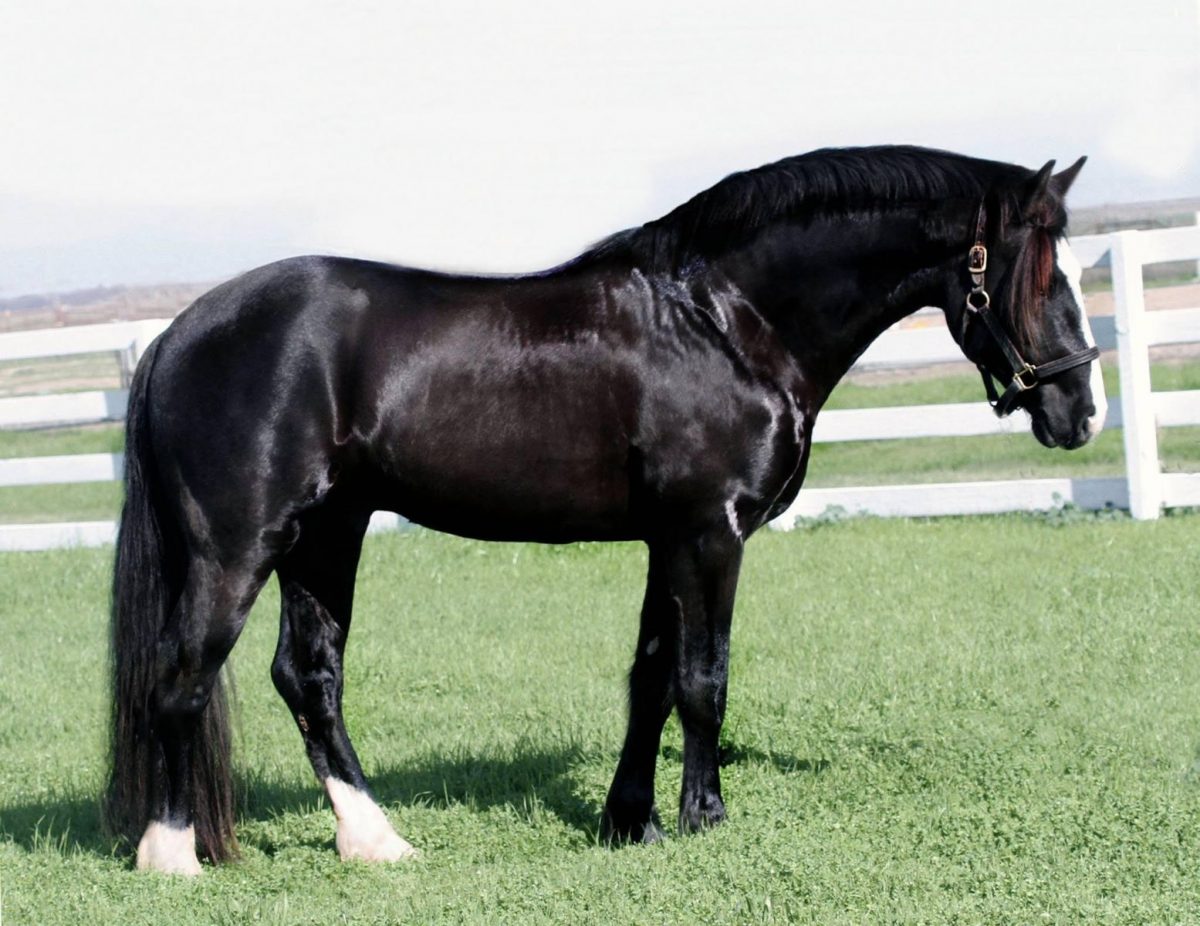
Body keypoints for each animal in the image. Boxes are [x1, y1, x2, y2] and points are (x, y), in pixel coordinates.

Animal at [106, 145, 1105, 874]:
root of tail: (177, 334)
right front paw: (705, 817)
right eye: (1039, 274)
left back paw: (375, 841)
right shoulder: (711, 534)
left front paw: (633, 822)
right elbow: (704, 680)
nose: (1082, 410)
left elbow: (652, 678)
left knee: (307, 678)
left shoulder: (670, 539)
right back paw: (171, 856)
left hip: (325, 537)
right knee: (181, 675)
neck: (726, 323)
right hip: (238, 548)